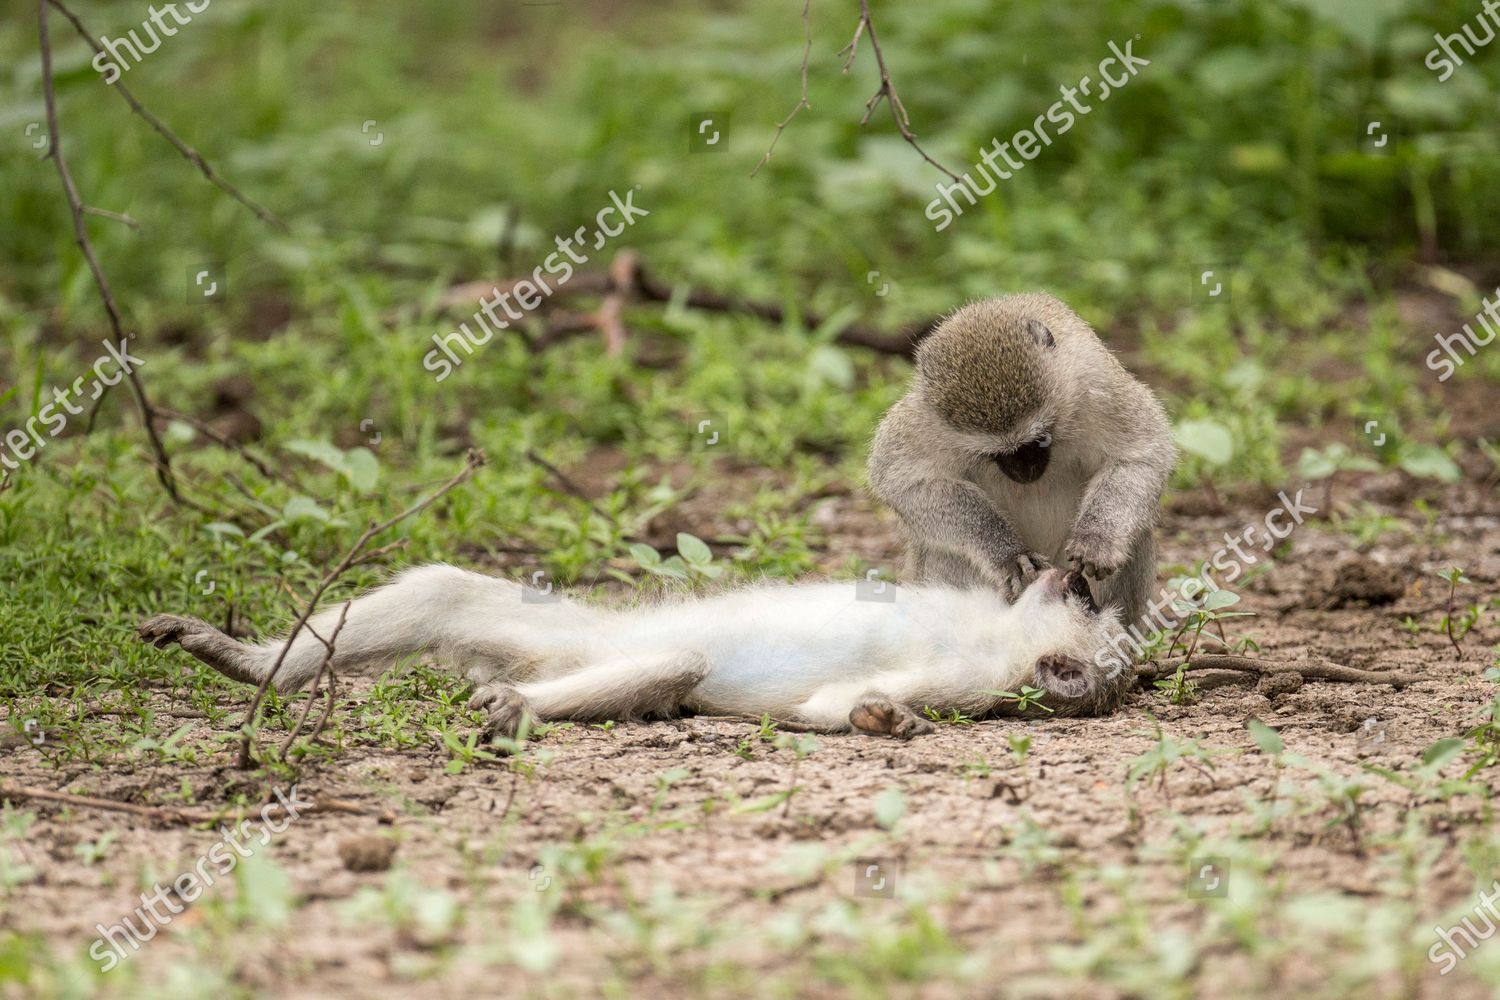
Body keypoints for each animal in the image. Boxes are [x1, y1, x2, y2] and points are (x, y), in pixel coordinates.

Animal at [868, 292, 1175, 630]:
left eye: (1039, 439)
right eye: (994, 454)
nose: (1026, 471)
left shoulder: (1098, 385)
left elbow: (1141, 453)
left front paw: (1098, 539)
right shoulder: (923, 418)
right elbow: (903, 481)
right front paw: (1008, 554)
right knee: (945, 548)